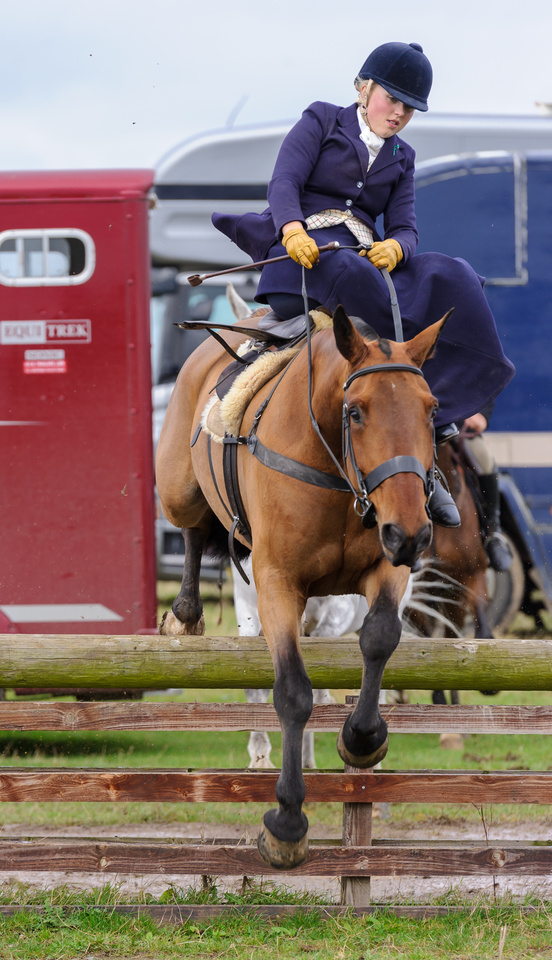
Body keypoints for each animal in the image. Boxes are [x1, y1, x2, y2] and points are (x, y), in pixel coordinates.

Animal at [156, 302, 450, 869]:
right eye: (355, 412)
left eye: (431, 410)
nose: (413, 532)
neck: (336, 473)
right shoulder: (276, 583)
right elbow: (293, 691)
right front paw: (287, 823)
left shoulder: (387, 565)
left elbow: (379, 637)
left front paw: (362, 738)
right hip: (177, 488)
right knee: (194, 526)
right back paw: (184, 614)